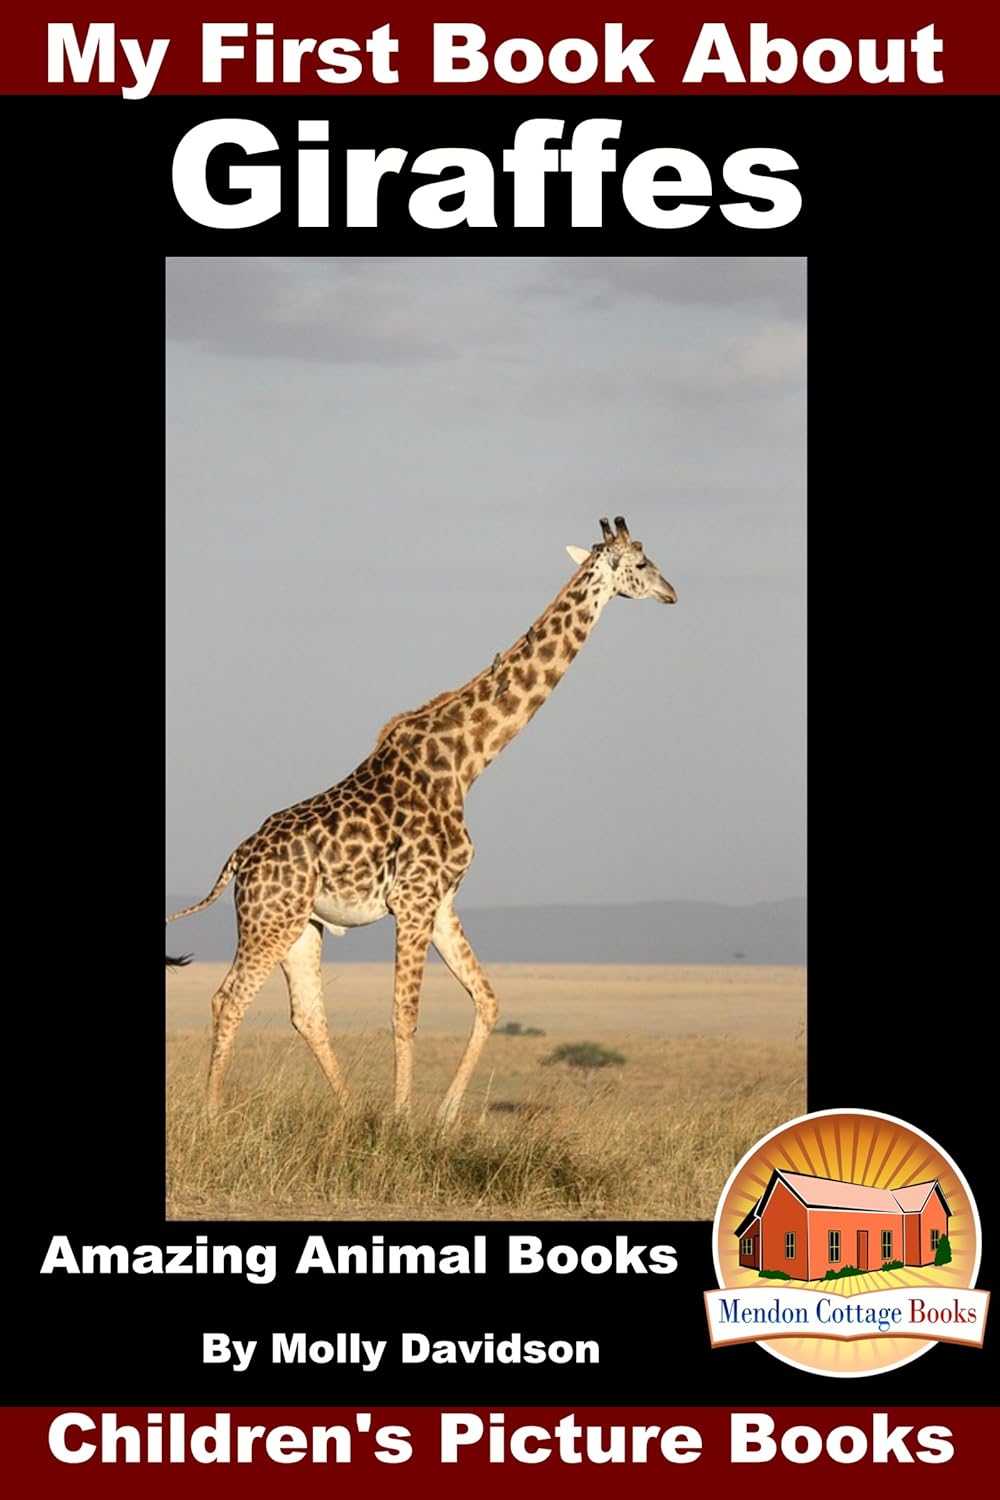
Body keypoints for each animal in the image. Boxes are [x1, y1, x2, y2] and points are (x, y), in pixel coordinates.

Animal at [166, 517, 677, 1126]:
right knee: (229, 998)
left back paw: (349, 1111)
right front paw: (403, 1119)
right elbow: (404, 1015)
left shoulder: (442, 899)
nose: (672, 593)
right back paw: (212, 1115)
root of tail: (237, 859)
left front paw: (444, 1117)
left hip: (302, 926)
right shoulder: (412, 898)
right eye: (642, 563)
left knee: (306, 1013)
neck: (467, 761)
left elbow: (487, 1000)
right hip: (269, 919)